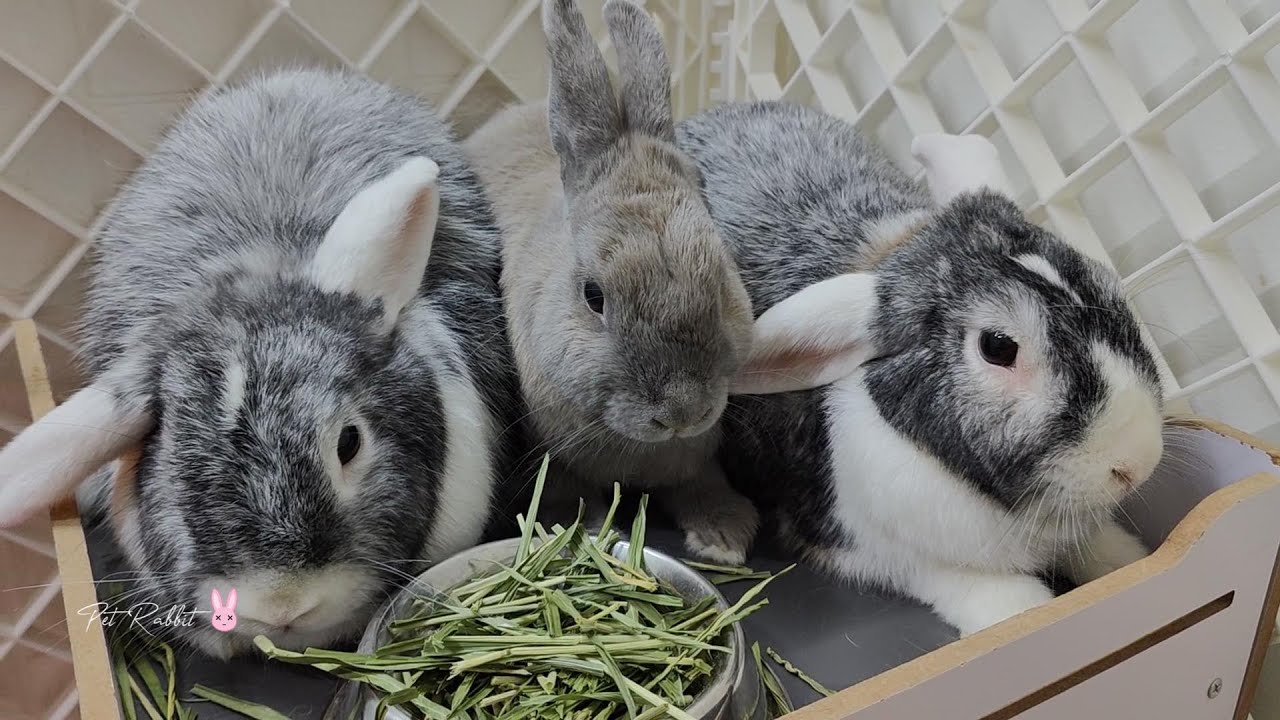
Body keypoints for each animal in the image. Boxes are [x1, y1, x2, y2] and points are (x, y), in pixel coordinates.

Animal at [464, 0, 757, 563]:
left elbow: (702, 484)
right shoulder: (549, 456)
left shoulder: (695, 459)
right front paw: (586, 530)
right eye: (593, 296)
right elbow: (567, 495)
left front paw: (723, 539)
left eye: (722, 274)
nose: (682, 411)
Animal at [676, 101, 1164, 636]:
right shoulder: (866, 547)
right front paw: (1020, 611)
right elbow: (976, 588)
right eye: (997, 347)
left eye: (1107, 284)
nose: (1136, 464)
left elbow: (1100, 550)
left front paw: (1132, 558)